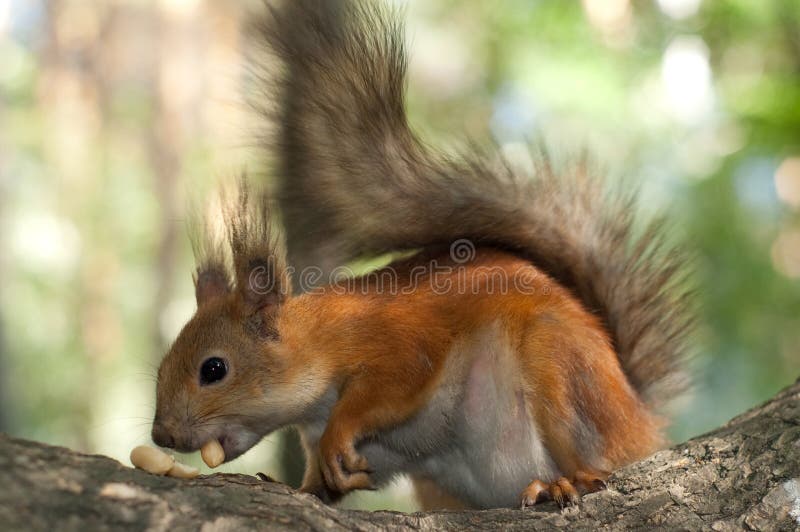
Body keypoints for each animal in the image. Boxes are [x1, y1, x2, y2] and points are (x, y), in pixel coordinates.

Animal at [151, 0, 693, 510]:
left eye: (213, 369)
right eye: (163, 366)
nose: (162, 435)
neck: (317, 344)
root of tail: (641, 423)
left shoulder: (396, 344)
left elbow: (389, 389)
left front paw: (336, 437)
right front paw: (304, 486)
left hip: (559, 367)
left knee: (588, 454)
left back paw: (568, 480)